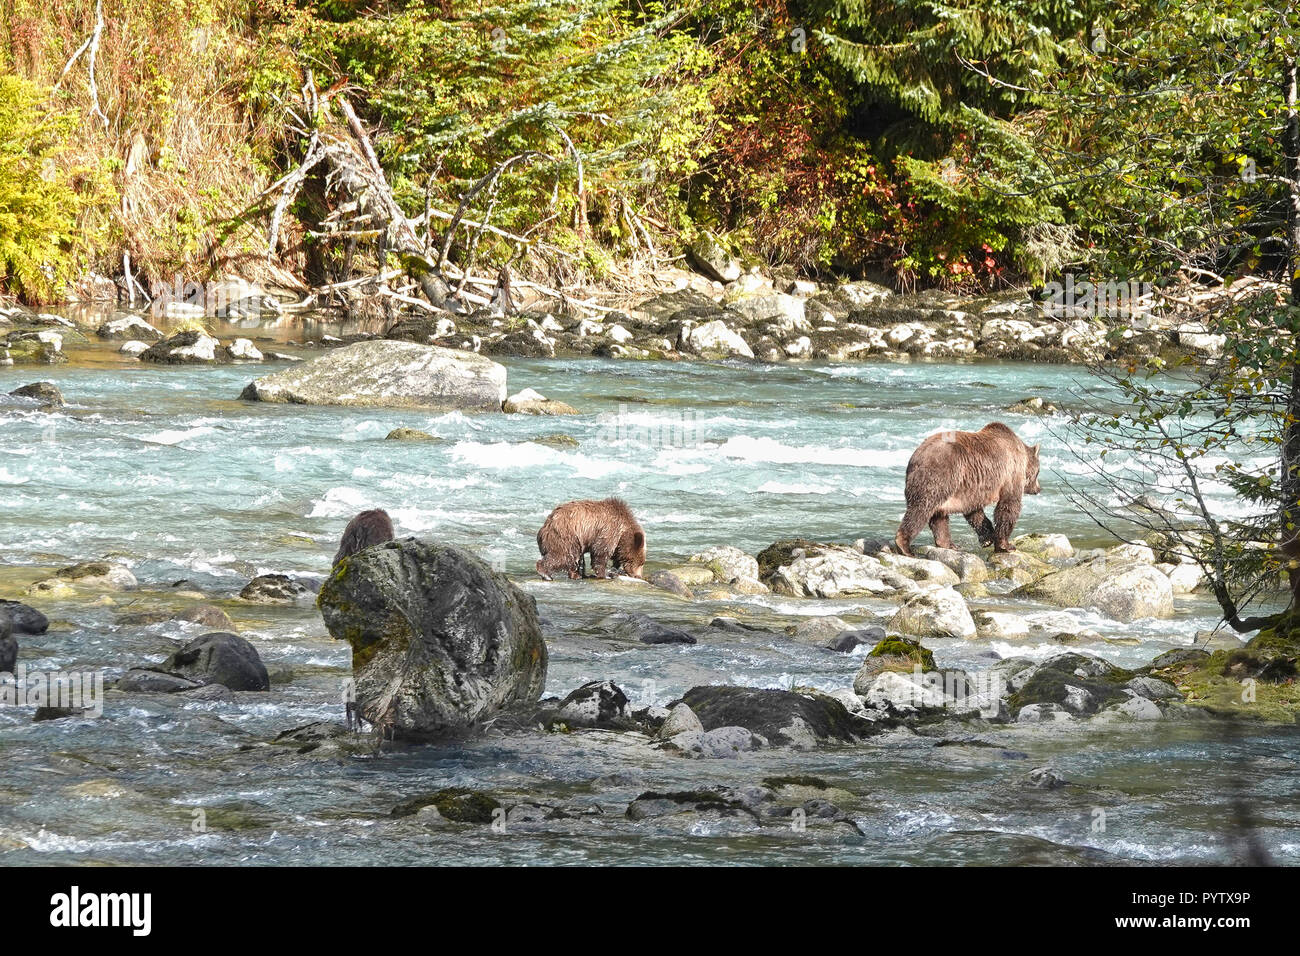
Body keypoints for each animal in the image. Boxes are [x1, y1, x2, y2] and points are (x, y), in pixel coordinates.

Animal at [895, 422, 1041, 557]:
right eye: (1038, 471)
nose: (1038, 489)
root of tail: (915, 457)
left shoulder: (971, 489)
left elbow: (975, 512)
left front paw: (987, 538)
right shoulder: (1010, 473)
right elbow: (1009, 506)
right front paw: (1006, 545)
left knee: (939, 516)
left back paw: (949, 544)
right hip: (939, 475)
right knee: (921, 509)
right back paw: (904, 547)